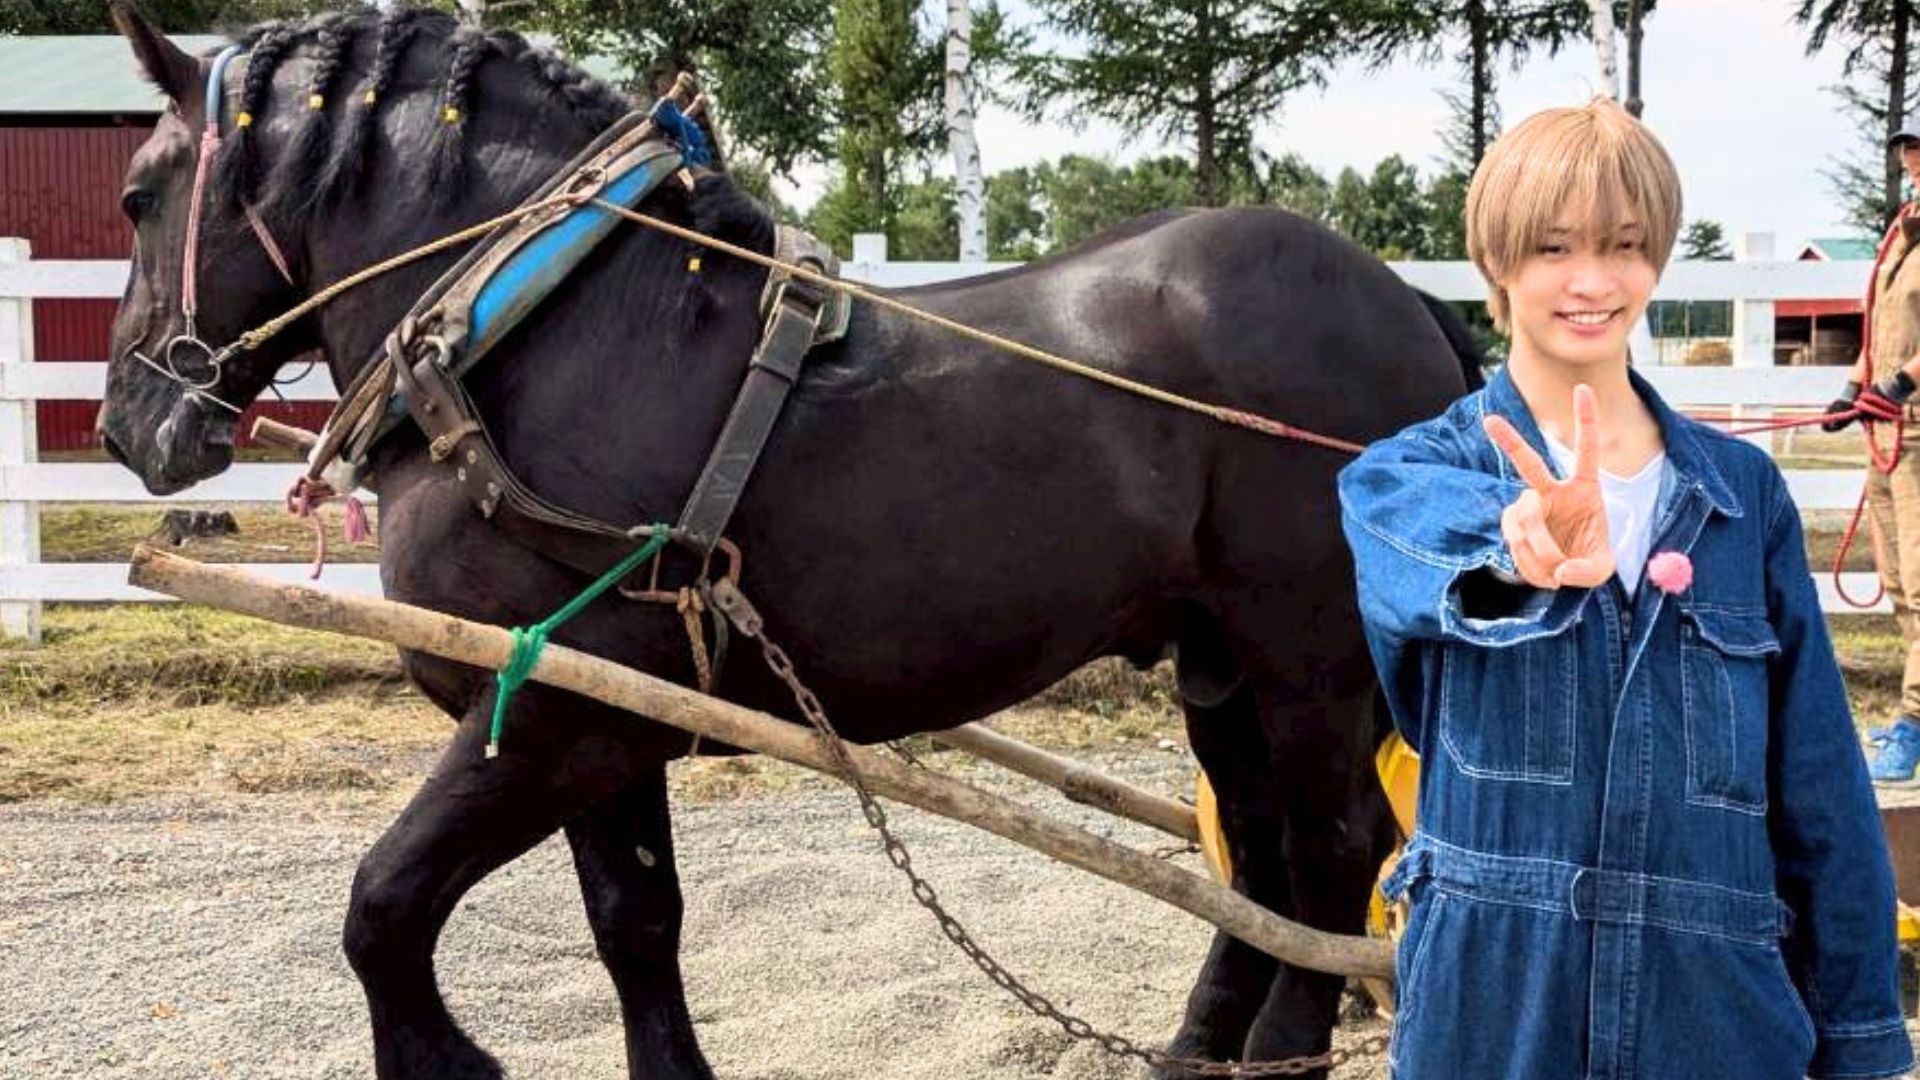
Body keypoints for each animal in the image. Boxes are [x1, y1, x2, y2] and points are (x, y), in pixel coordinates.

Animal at [100, 7, 1482, 1077]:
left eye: (134, 194)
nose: (131, 423)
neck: (543, 330)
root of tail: (1409, 299)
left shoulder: (545, 713)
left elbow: (382, 909)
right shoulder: (605, 718)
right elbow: (635, 924)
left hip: (1306, 652)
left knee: (1332, 850)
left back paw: (1282, 1047)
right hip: (1215, 658)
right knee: (1253, 853)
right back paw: (1202, 1048)